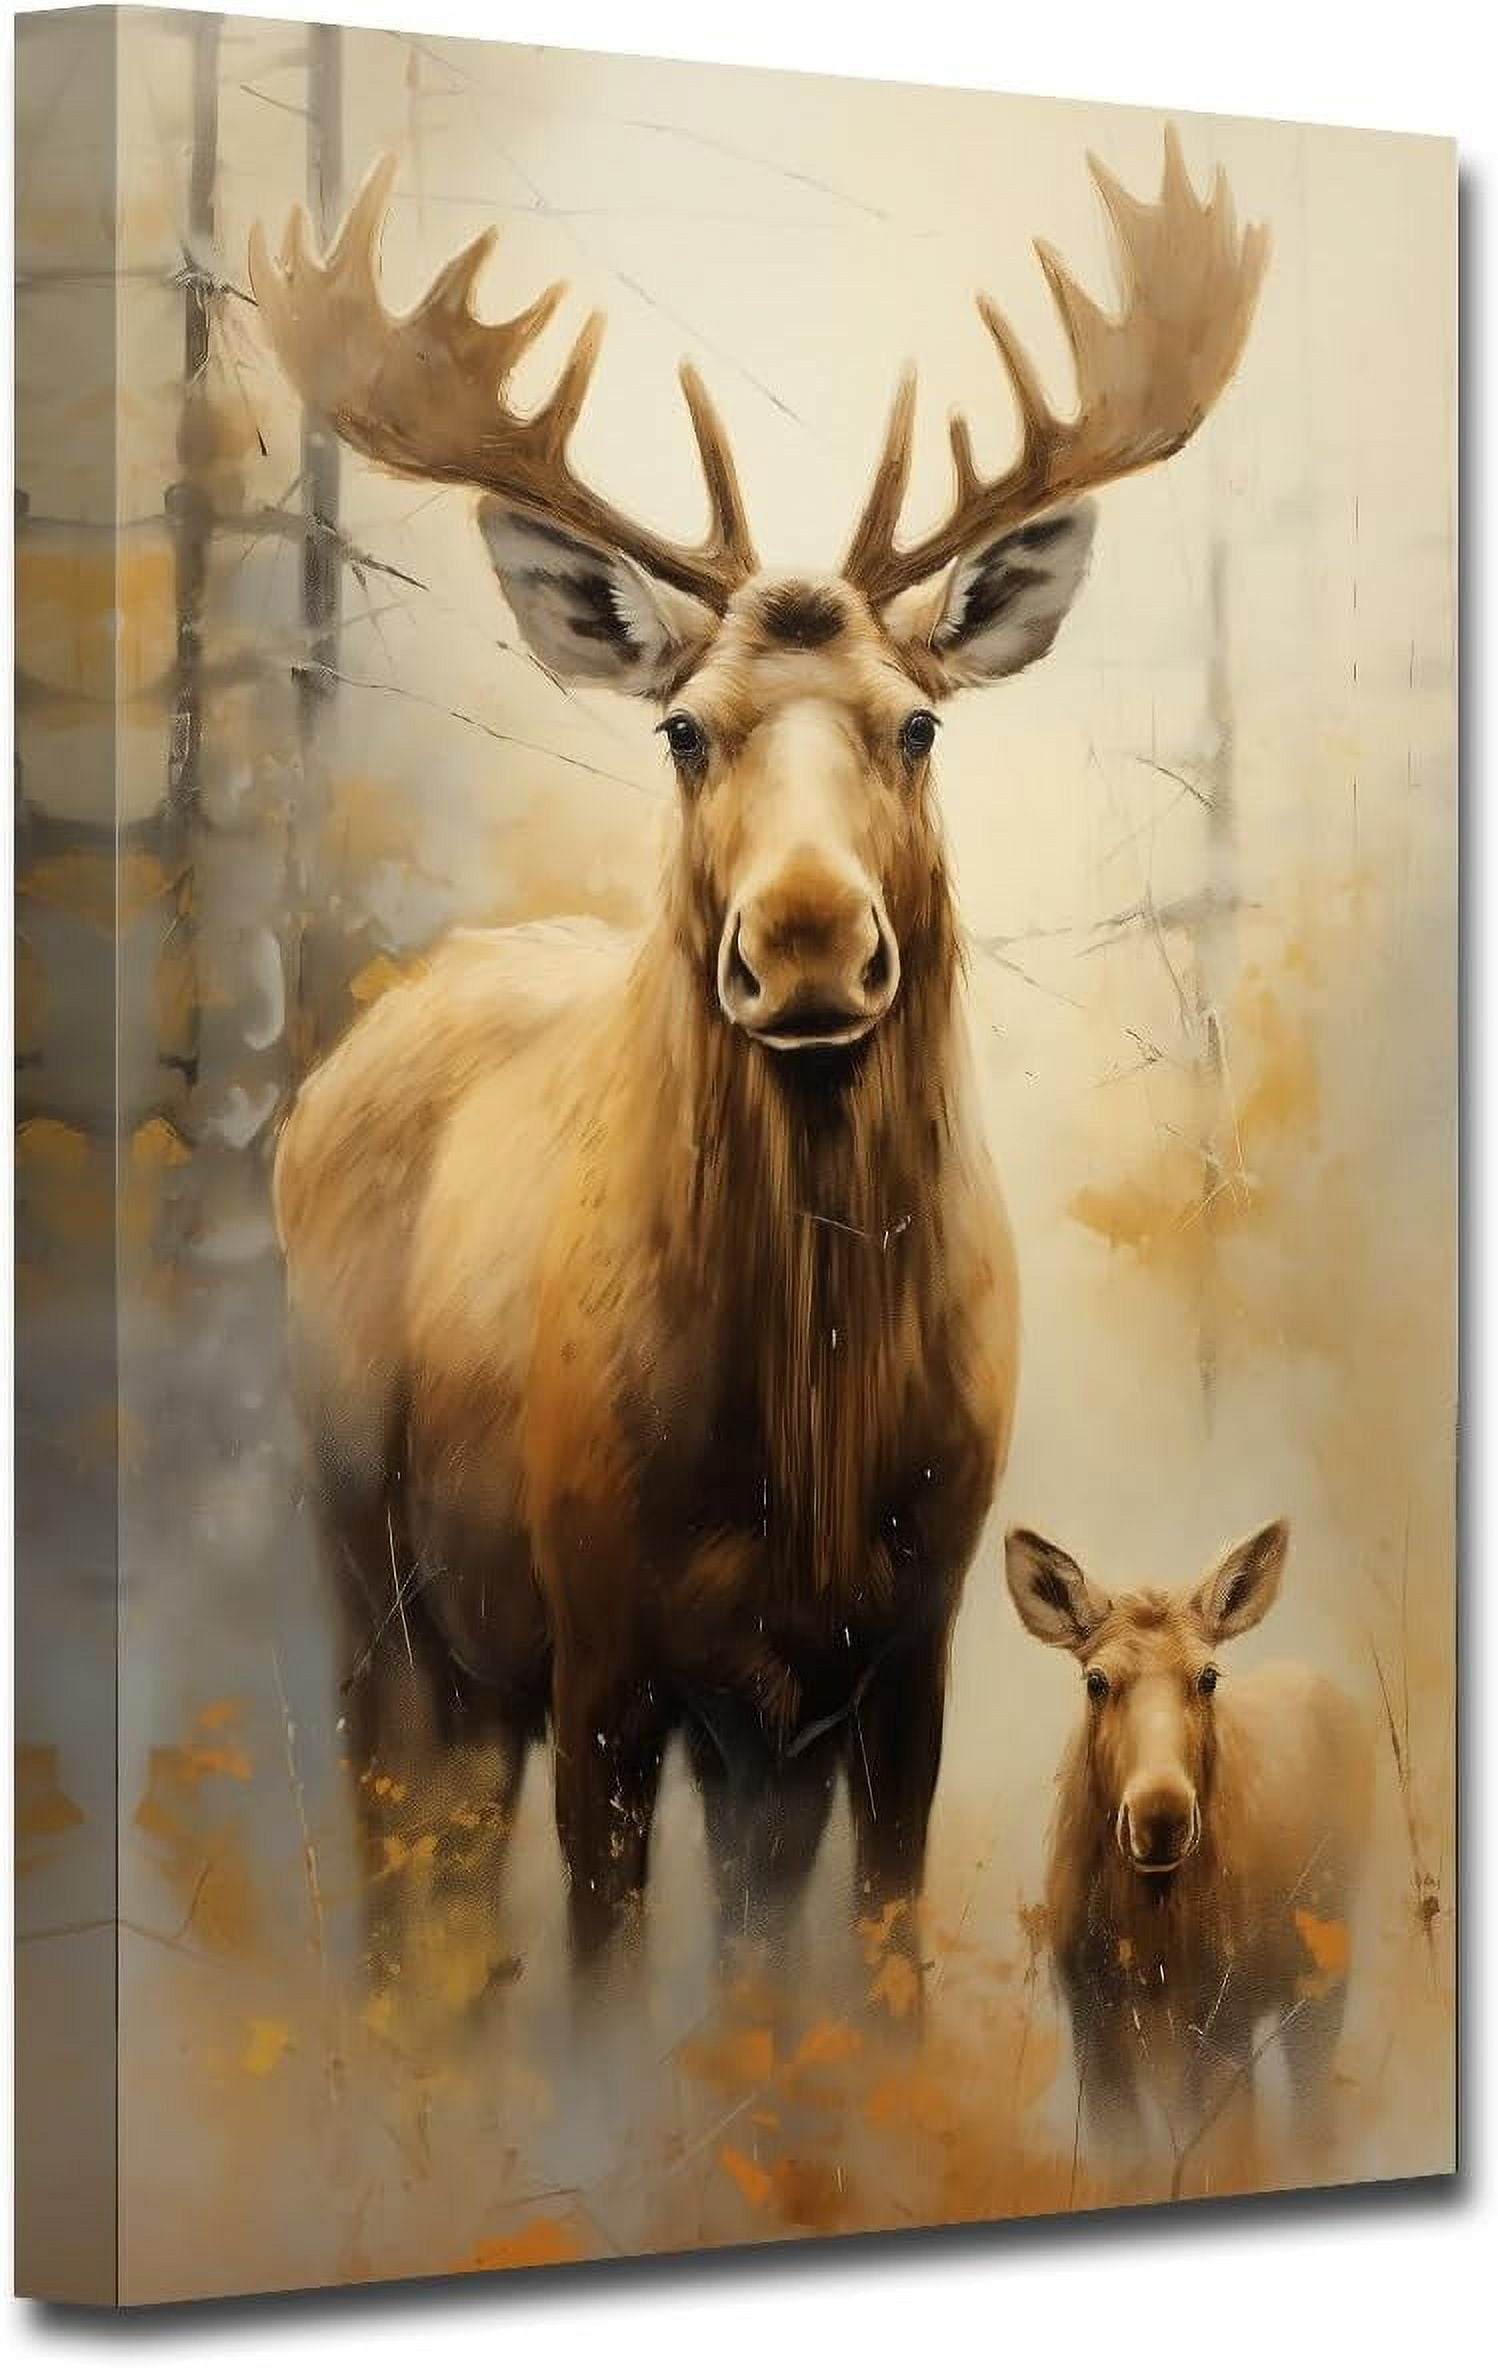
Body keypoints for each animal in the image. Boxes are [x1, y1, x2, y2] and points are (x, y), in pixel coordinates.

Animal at [251, 130, 1267, 1992]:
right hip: (366, 1559)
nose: (802, 938)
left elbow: (858, 1978)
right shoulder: (598, 1635)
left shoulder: (896, 1650)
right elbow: (598, 1978)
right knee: (396, 1872)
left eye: (917, 722)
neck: (803, 1447)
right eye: (680, 728)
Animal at [1005, 1522, 1372, 2161]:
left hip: (1323, 1974)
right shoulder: (1093, 2024)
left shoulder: (1224, 2024)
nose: (1161, 1815)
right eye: (1095, 1680)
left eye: (1207, 1676)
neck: (1150, 1939)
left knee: (1313, 2106)